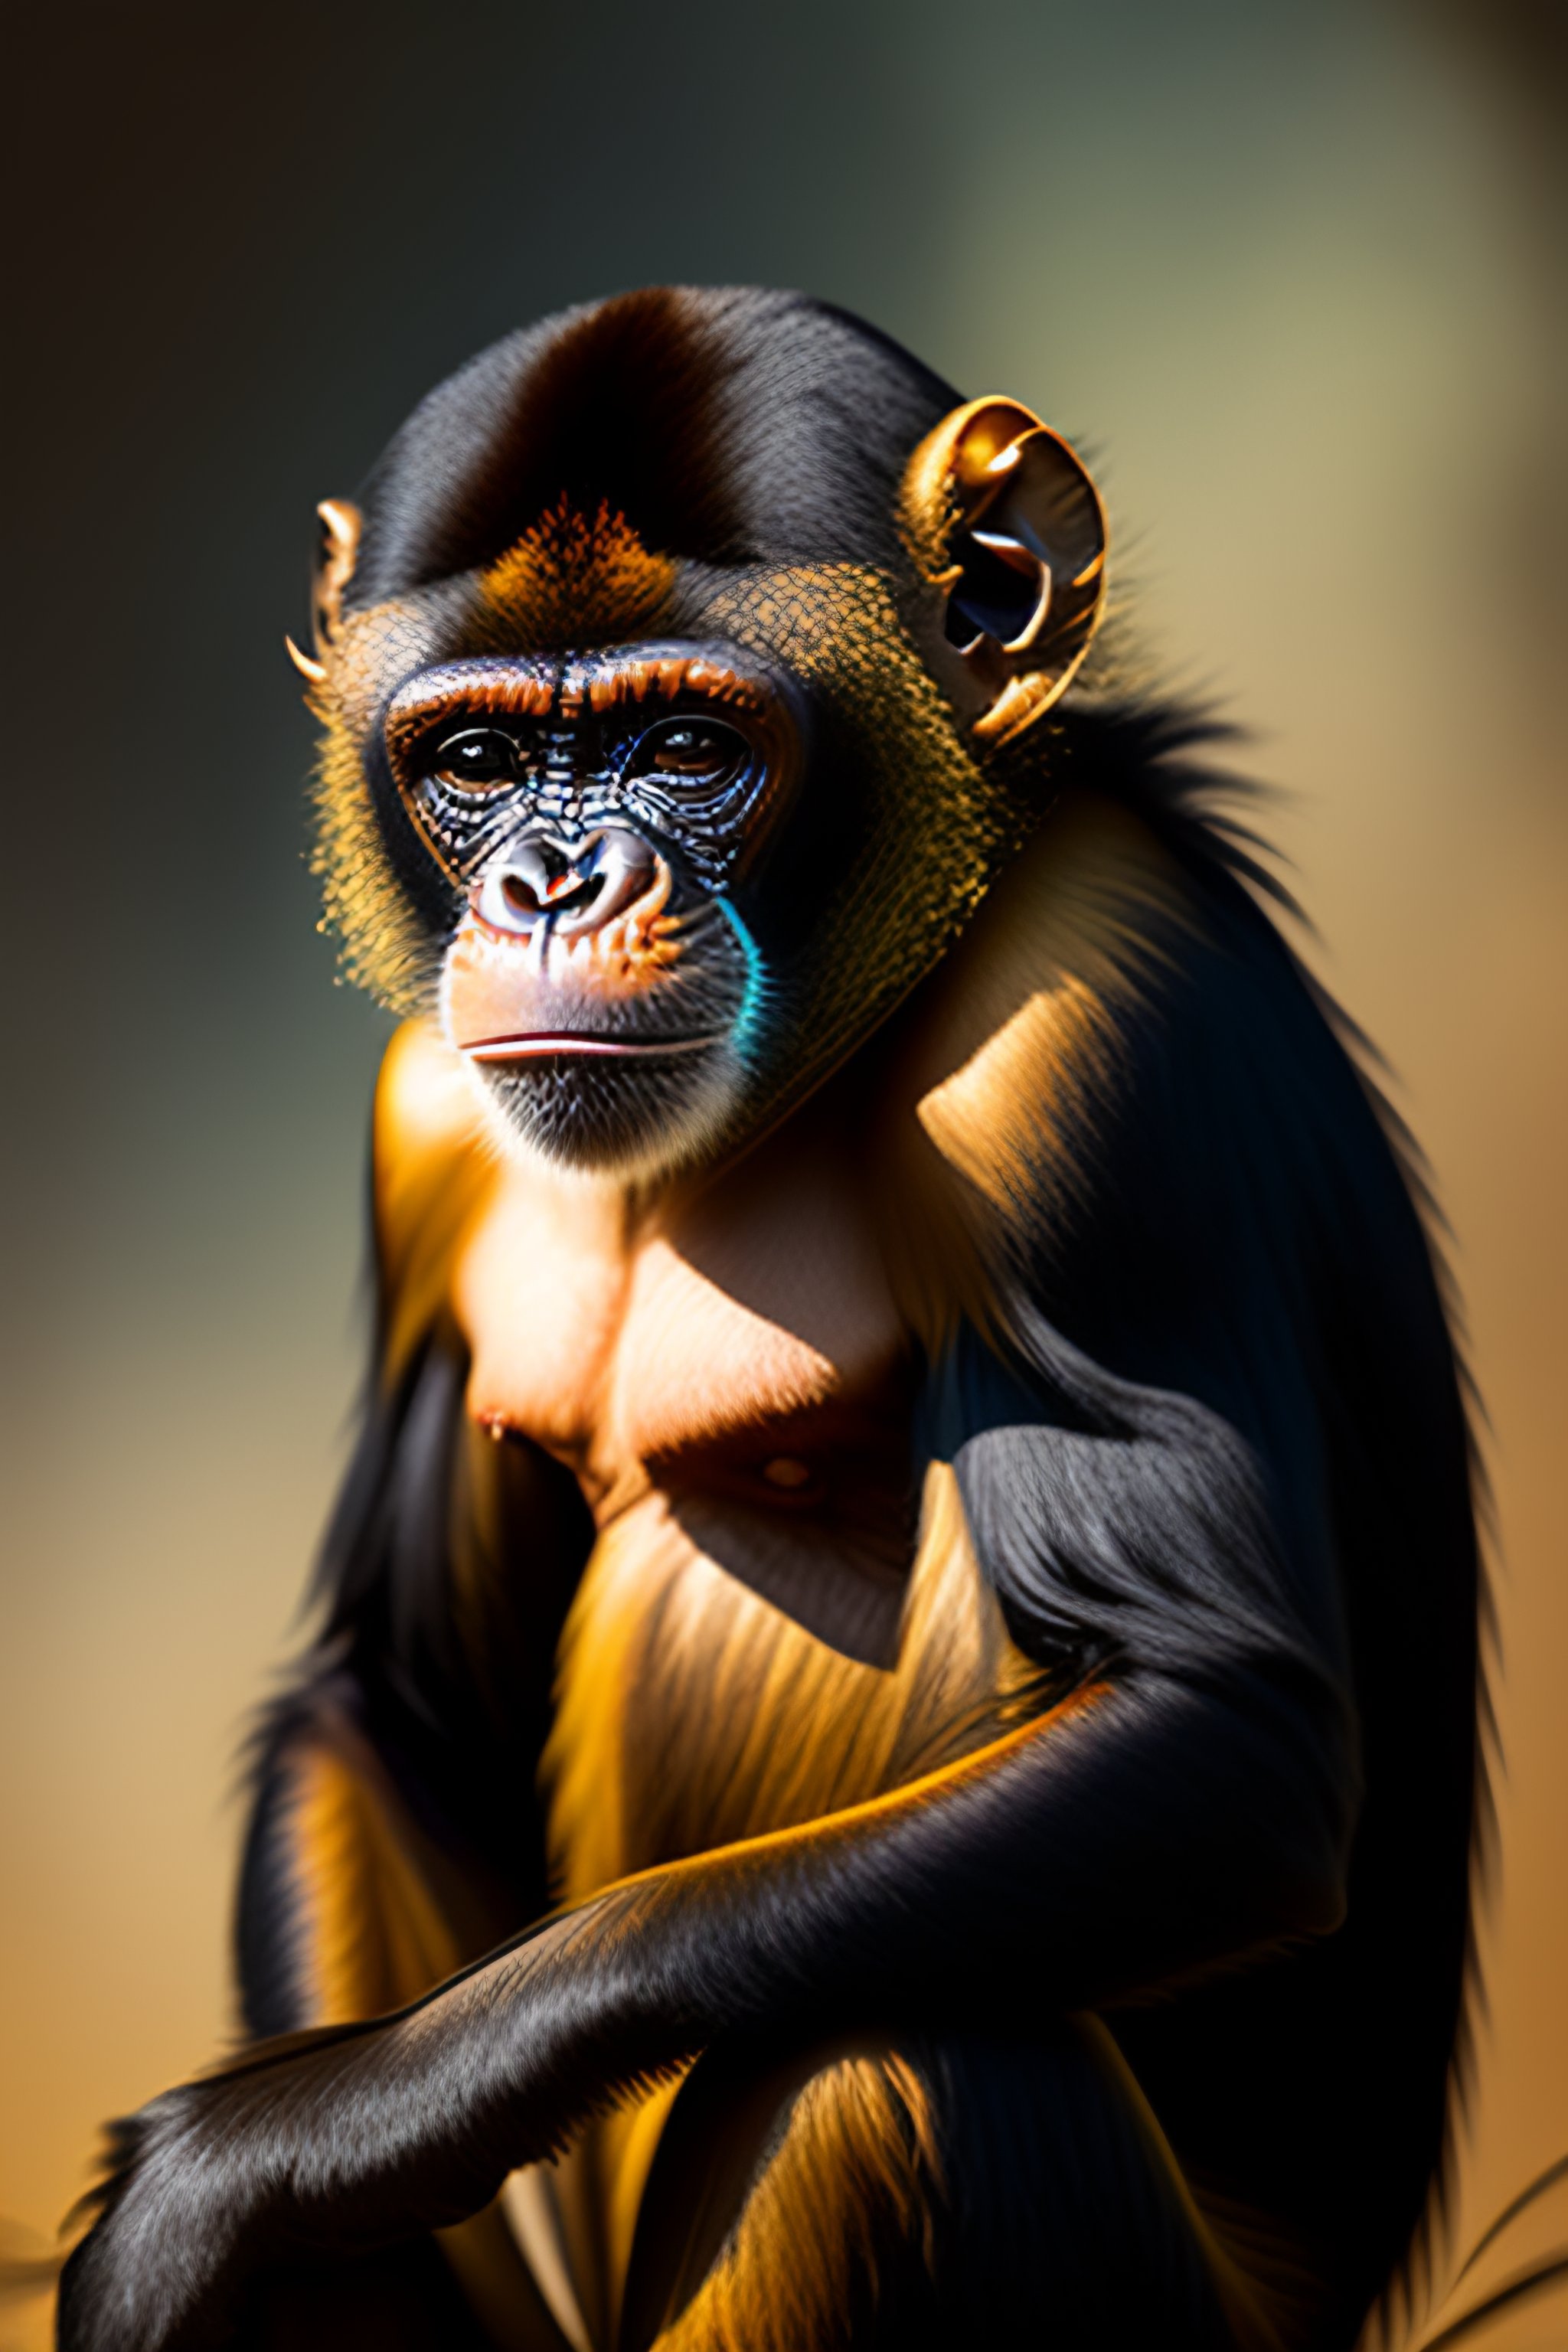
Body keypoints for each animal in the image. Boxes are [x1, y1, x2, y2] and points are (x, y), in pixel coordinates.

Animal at [54, 285, 1486, 2352]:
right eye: (473, 758)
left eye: (679, 739)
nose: (549, 879)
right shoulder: (416, 1130)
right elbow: (396, 1702)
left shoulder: (1085, 1045)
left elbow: (1217, 1726)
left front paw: (259, 2167)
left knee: (884, 2058)